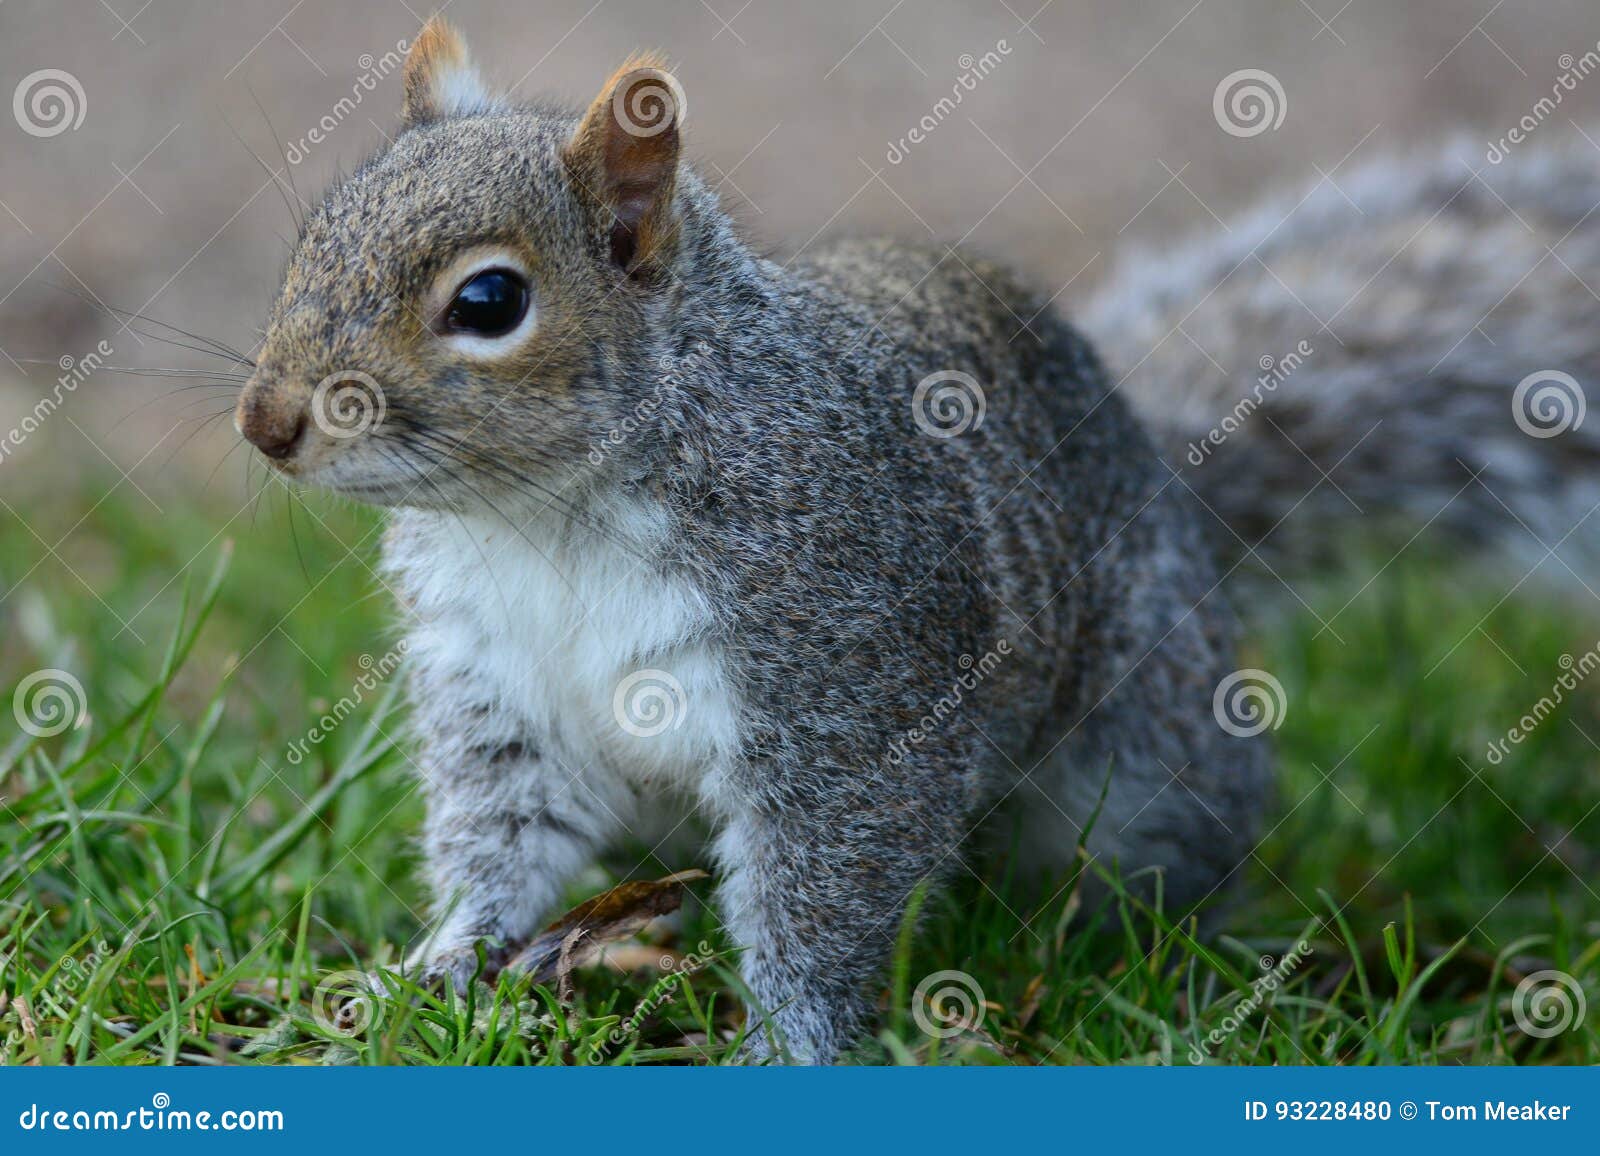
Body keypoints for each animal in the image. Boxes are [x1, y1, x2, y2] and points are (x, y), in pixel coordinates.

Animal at [234, 17, 1600, 1061]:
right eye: (309, 242)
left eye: (488, 301)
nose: (266, 423)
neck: (538, 518)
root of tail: (1169, 495)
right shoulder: (499, 685)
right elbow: (502, 836)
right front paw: (434, 967)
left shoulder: (846, 688)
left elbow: (822, 887)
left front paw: (784, 1048)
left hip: (1148, 760)